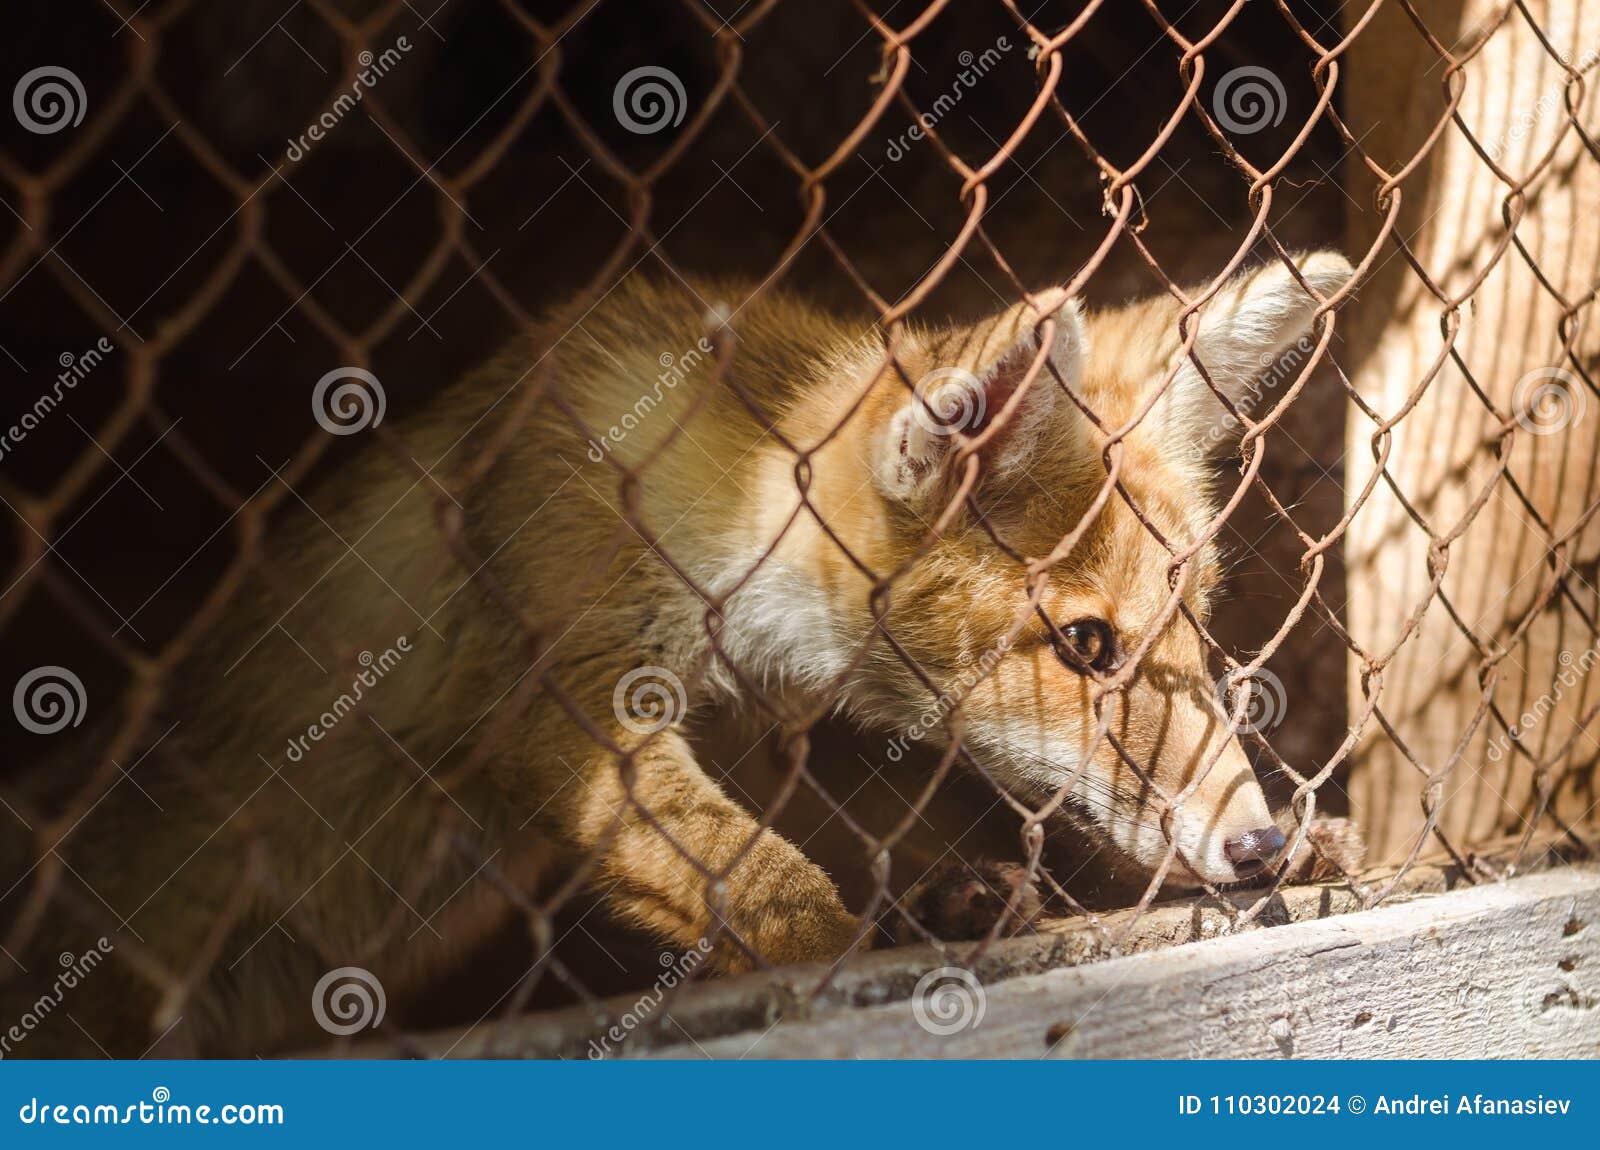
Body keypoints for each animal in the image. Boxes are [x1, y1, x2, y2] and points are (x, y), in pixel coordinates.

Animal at [0, 250, 1359, 1057]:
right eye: (1084, 643)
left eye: (1197, 630)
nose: (1256, 844)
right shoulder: (563, 712)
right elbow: (770, 890)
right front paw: (863, 959)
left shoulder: (738, 718)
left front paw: (943, 898)